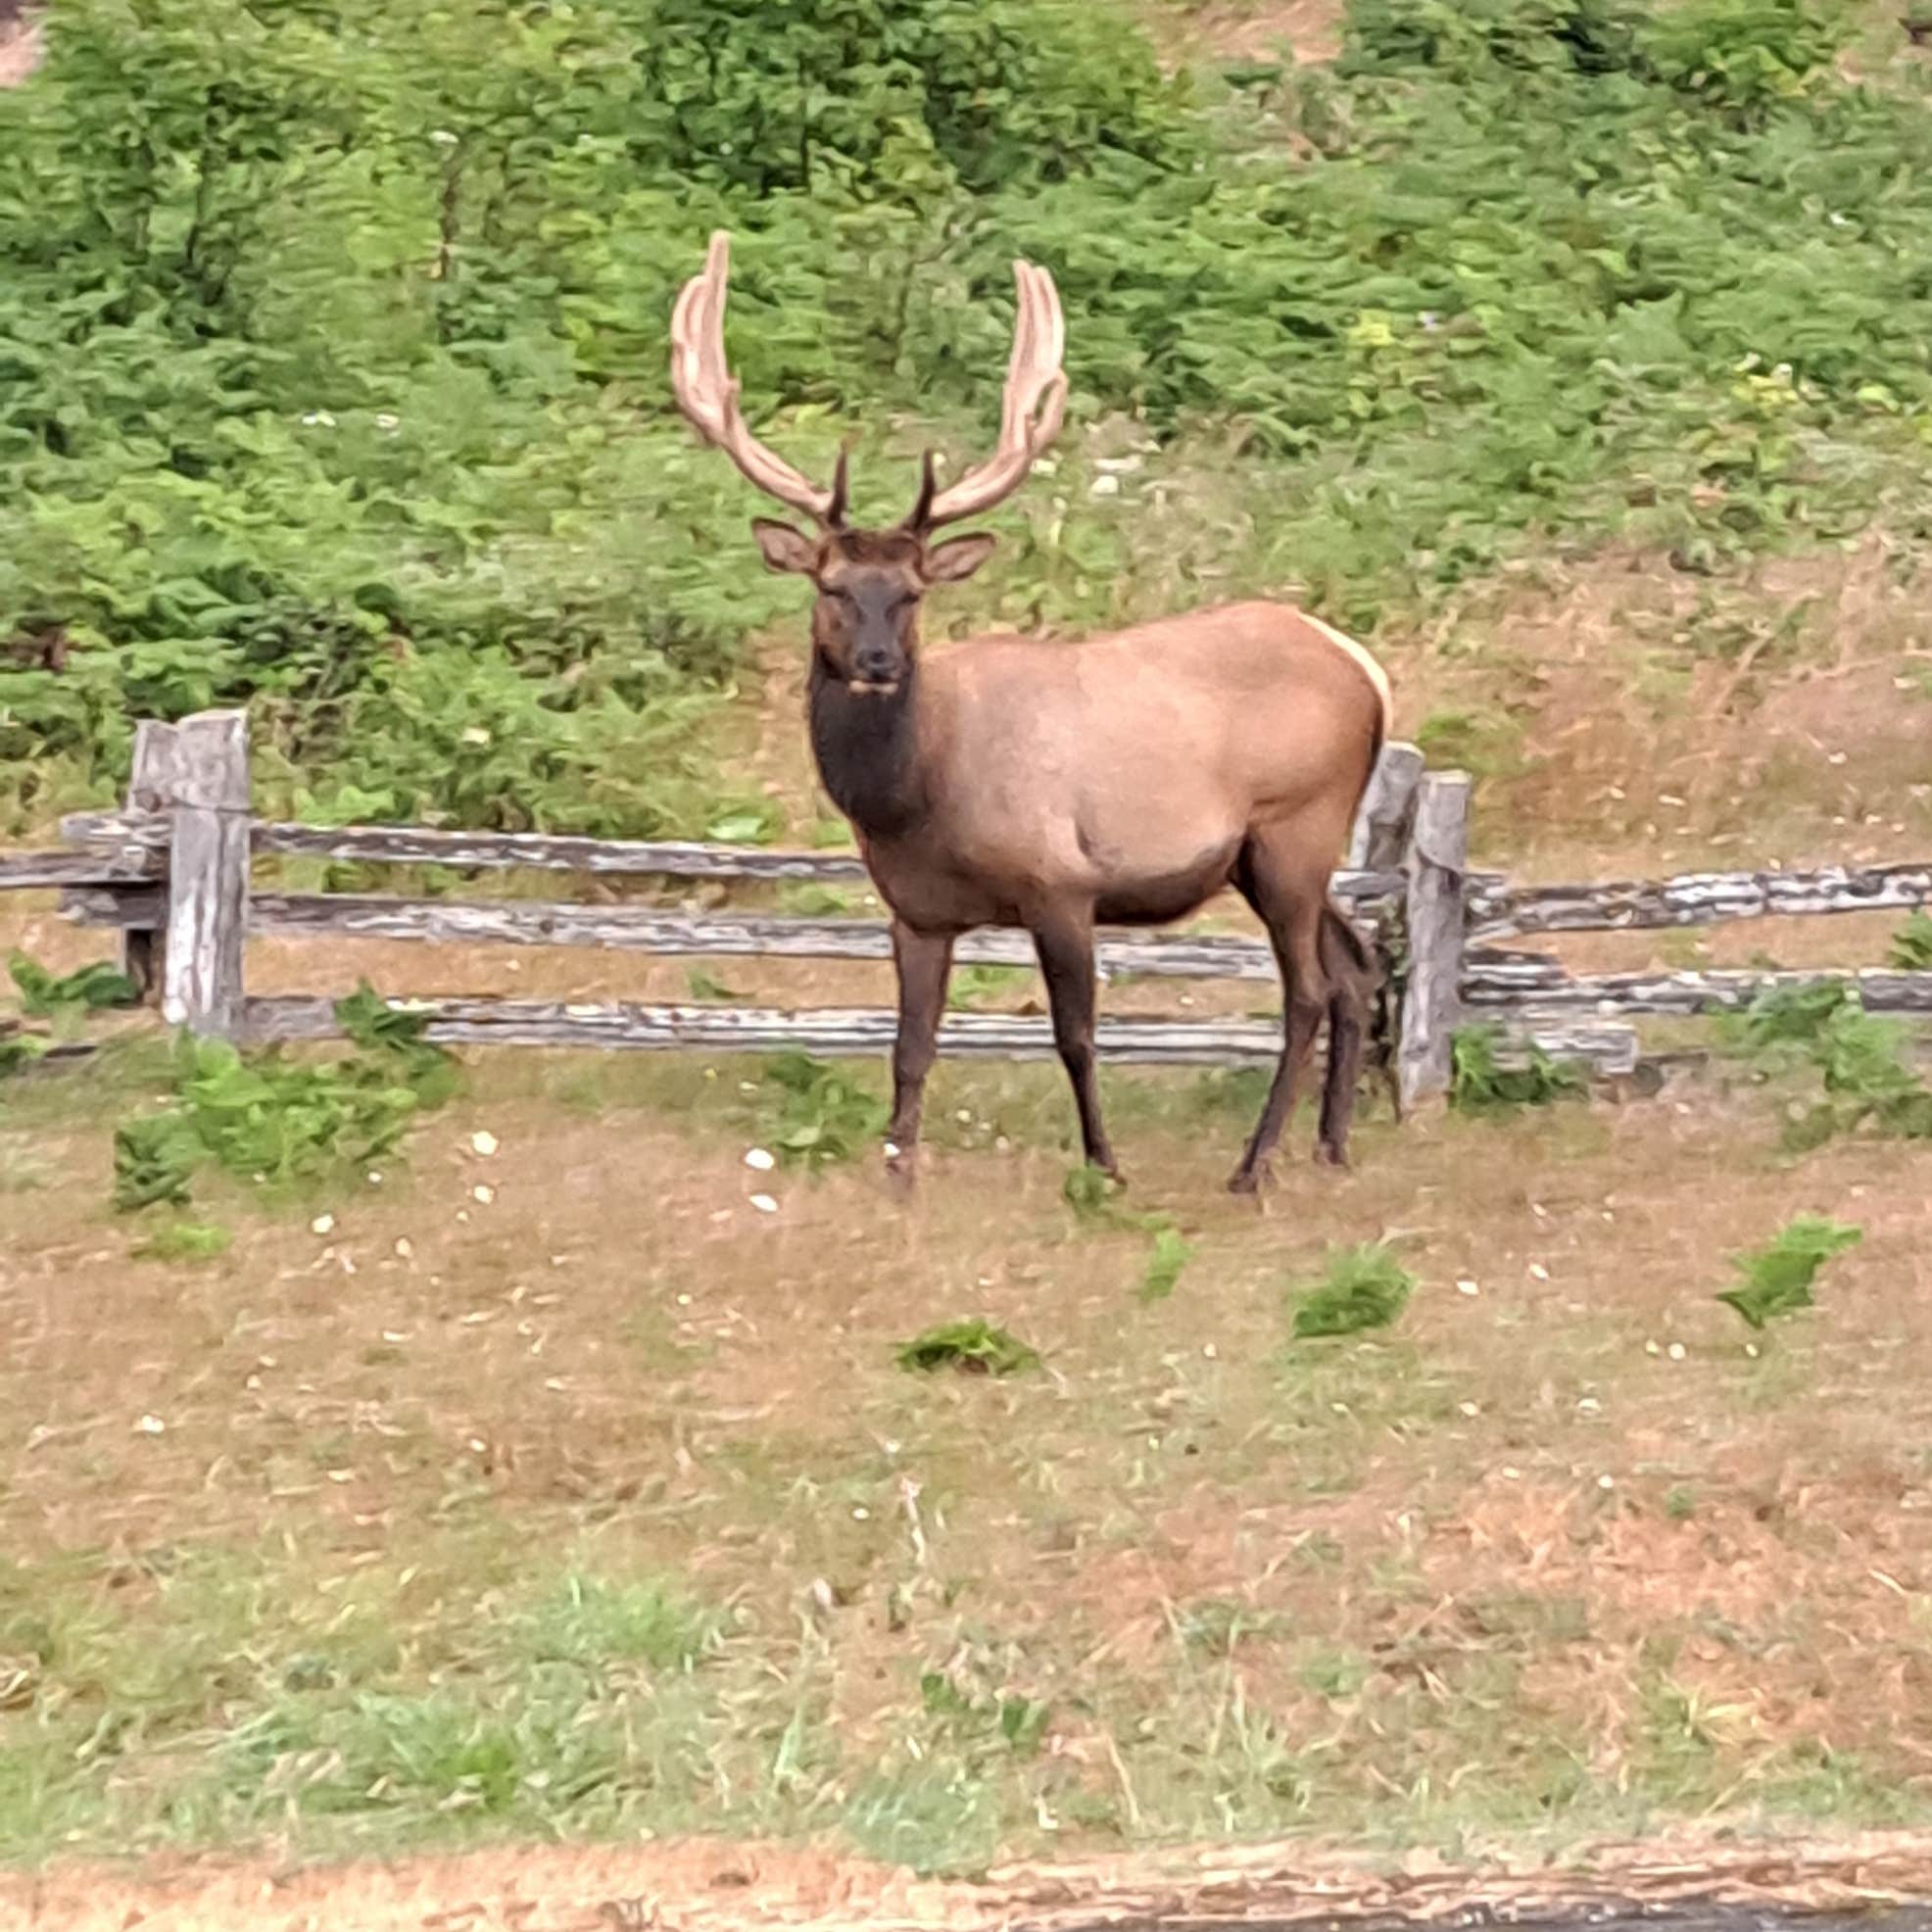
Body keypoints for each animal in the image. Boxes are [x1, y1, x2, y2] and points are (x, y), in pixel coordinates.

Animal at [670, 233, 1393, 1194]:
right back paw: (1333, 1146)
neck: (917, 795)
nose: (878, 663)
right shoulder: (916, 910)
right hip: (1271, 854)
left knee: (1307, 989)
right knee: (1357, 967)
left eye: (911, 593)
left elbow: (1077, 1038)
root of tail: (1365, 669)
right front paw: (897, 1169)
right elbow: (910, 1046)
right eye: (831, 587)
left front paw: (1104, 1167)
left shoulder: (1063, 880)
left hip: (1296, 827)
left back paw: (1253, 1165)